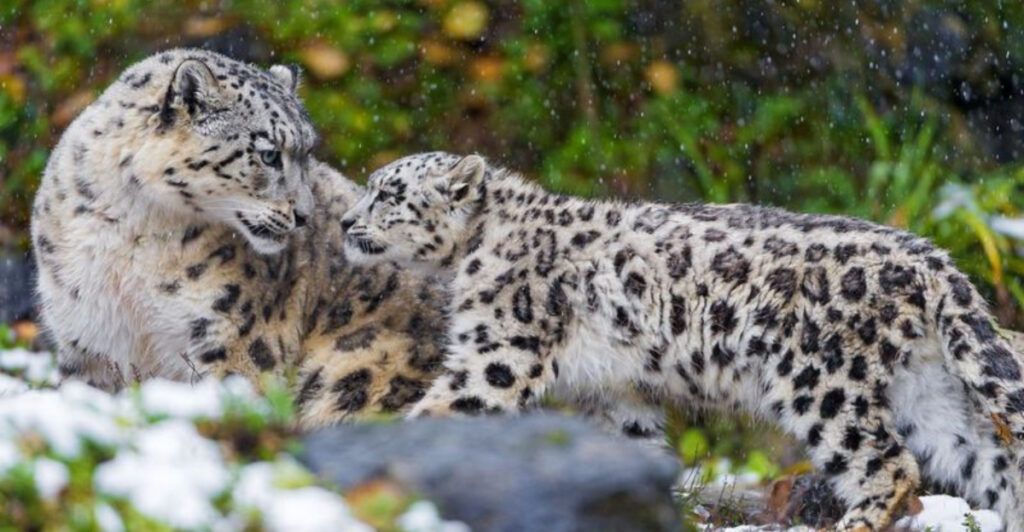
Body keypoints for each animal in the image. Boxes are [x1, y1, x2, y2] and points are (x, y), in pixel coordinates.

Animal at [30, 49, 449, 428]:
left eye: (306, 153)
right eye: (269, 154)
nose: (304, 215)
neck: (132, 235)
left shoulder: (233, 338)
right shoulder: (87, 338)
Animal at [340, 151, 1024, 532]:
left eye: (388, 195)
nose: (346, 221)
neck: (467, 258)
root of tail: (932, 259)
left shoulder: (497, 353)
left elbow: (441, 410)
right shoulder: (617, 393)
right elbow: (637, 452)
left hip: (823, 383)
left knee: (885, 466)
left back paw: (850, 525)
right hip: (927, 393)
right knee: (992, 461)